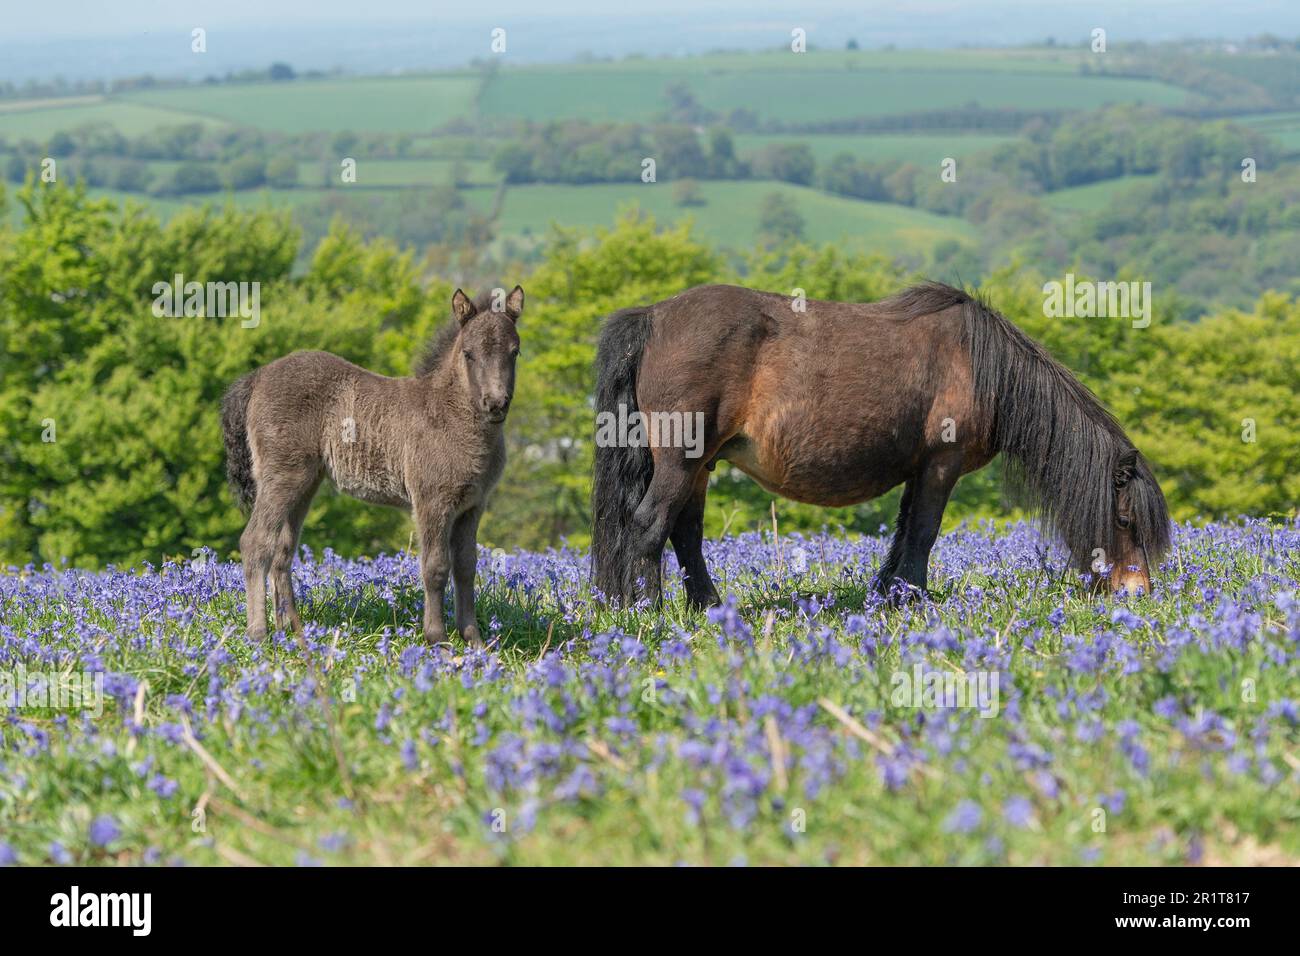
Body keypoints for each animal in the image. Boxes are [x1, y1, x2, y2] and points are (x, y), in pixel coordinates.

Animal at [221, 285, 524, 645]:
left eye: (515, 352)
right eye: (468, 354)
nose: (495, 403)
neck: (451, 415)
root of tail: (258, 376)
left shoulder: (473, 505)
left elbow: (466, 567)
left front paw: (474, 641)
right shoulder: (431, 501)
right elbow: (435, 567)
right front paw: (437, 638)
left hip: (304, 482)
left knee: (282, 549)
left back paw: (295, 632)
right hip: (283, 476)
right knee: (256, 542)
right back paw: (258, 632)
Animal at [591, 282, 1170, 608]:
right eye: (1125, 520)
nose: (1136, 593)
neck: (984, 367)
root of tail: (653, 317)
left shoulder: (920, 468)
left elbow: (904, 532)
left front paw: (890, 595)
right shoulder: (942, 464)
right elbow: (924, 534)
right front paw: (915, 600)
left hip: (701, 464)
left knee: (684, 533)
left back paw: (708, 608)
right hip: (682, 461)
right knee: (649, 527)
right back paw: (650, 613)